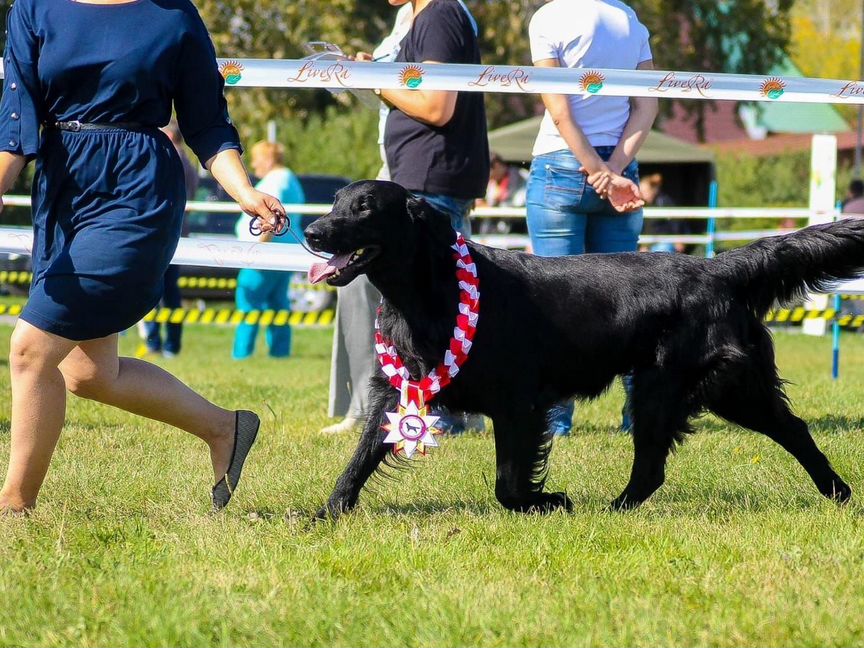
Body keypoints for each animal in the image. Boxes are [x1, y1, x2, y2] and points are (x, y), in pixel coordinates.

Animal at [304, 180, 864, 520]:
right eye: (334, 203)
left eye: (366, 207)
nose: (311, 231)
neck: (428, 291)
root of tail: (717, 266)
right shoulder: (397, 390)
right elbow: (360, 457)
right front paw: (325, 513)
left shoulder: (520, 404)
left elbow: (508, 485)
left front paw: (548, 501)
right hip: (675, 390)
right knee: (662, 465)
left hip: (705, 387)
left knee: (789, 430)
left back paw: (837, 493)